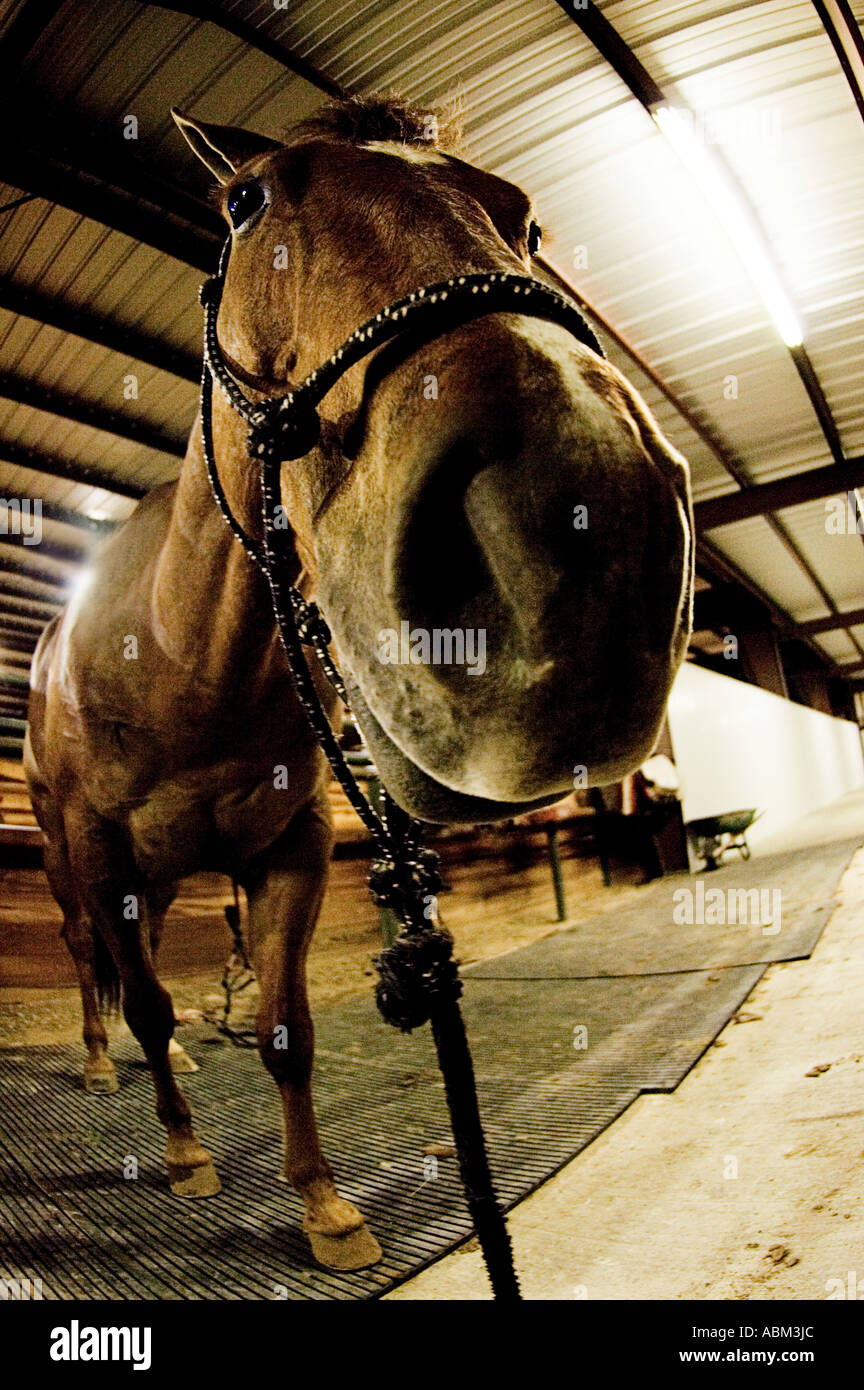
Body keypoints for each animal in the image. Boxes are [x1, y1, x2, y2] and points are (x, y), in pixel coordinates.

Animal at [23, 94, 693, 1271]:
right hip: (72, 865)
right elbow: (147, 1000)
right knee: (93, 962)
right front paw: (189, 1159)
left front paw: (324, 1208)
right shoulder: (103, 853)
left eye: (523, 219)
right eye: (245, 202)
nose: (586, 521)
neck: (187, 666)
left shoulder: (288, 853)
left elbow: (286, 1031)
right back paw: (109, 1065)